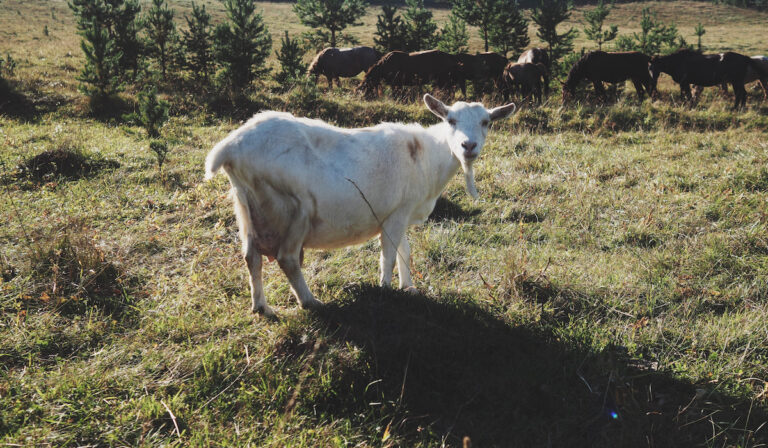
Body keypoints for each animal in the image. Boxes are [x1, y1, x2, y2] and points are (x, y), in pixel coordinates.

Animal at [205, 94, 516, 316]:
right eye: (451, 120)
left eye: (486, 122)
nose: (468, 146)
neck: (427, 155)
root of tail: (231, 147)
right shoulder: (397, 212)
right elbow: (389, 254)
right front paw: (386, 290)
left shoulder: (398, 213)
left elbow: (404, 250)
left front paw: (408, 287)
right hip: (292, 209)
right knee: (287, 258)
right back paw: (310, 302)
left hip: (247, 208)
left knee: (251, 256)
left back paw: (262, 307)